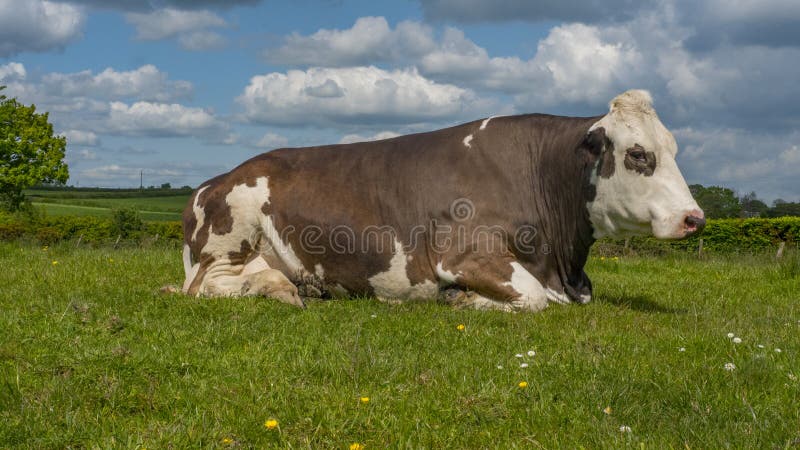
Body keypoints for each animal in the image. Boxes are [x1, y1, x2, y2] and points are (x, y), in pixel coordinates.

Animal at [180, 89, 704, 312]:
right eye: (638, 153)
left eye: (675, 148)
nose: (694, 218)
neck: (562, 262)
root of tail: (214, 179)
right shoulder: (464, 254)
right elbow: (533, 299)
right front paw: (464, 299)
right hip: (231, 232)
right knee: (209, 288)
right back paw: (275, 290)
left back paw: (301, 287)